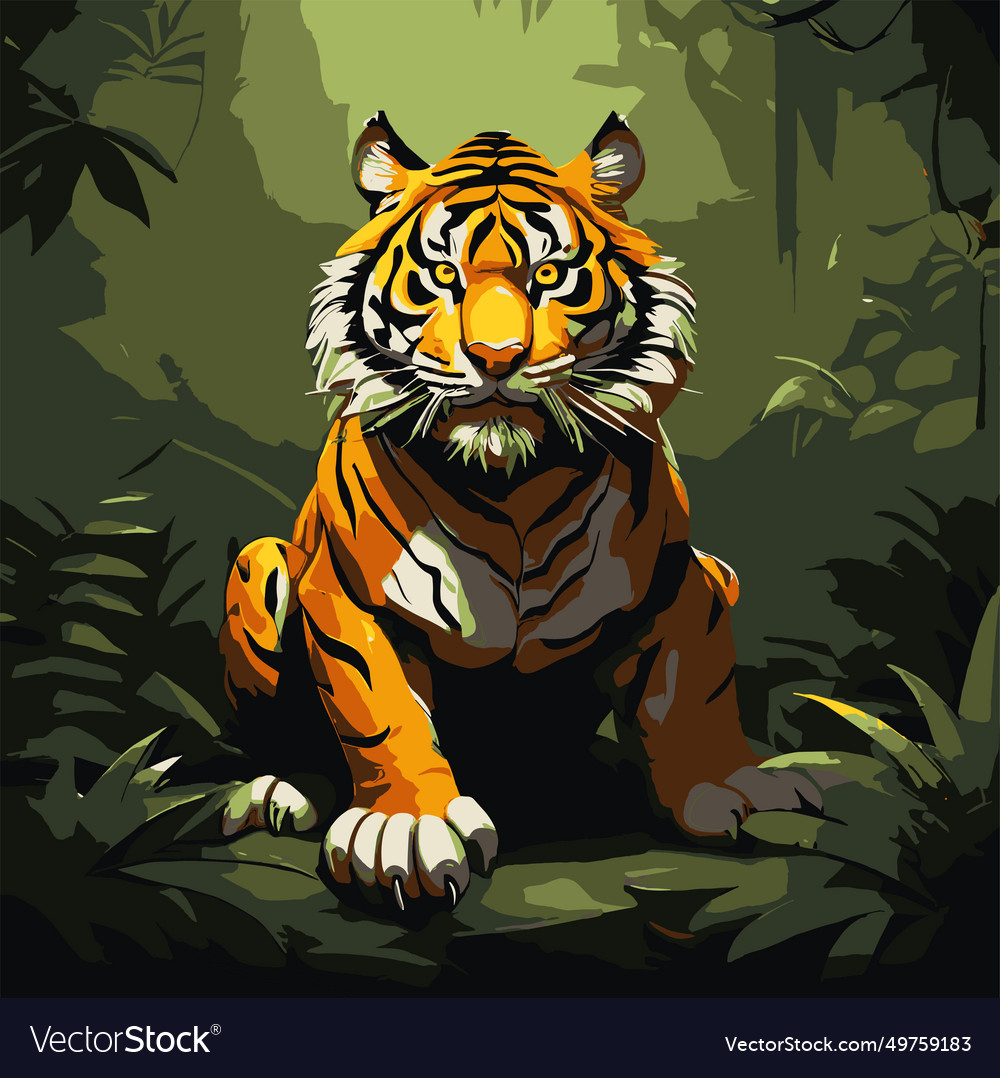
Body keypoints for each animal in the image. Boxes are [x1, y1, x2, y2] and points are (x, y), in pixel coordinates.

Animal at [219, 113, 818, 910]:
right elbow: (379, 711)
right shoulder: (347, 595)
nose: (496, 356)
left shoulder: (684, 580)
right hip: (261, 564)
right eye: (442, 277)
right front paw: (405, 827)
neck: (512, 487)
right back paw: (280, 791)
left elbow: (691, 689)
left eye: (550, 276)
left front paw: (733, 789)